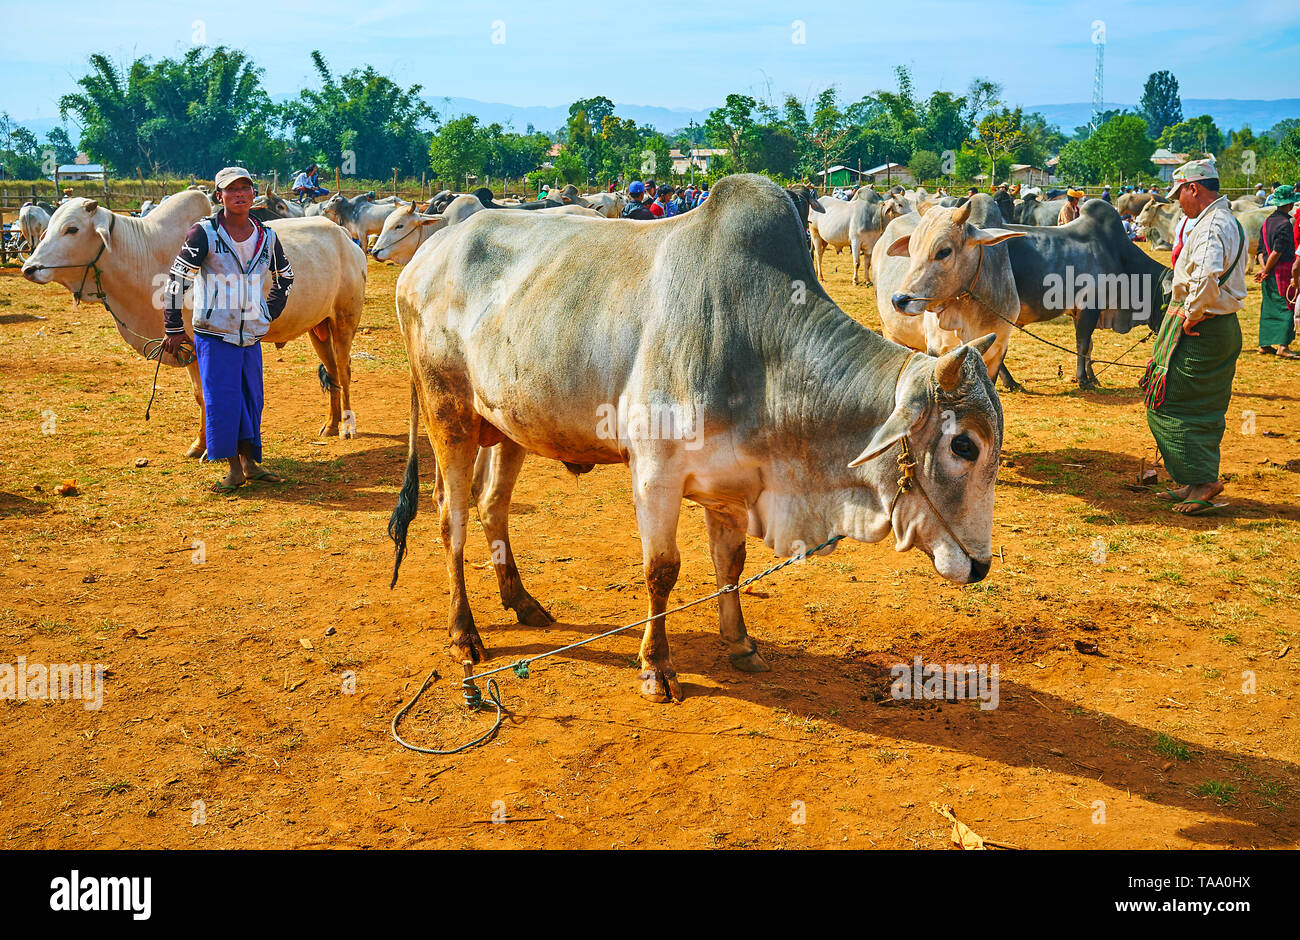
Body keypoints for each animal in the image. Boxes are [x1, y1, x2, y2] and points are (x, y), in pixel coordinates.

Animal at [21, 192, 367, 455]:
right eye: (50, 227)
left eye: (72, 229)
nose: (30, 268)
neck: (143, 255)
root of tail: (348, 240)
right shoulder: (185, 345)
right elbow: (201, 396)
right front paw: (199, 445)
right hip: (319, 327)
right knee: (332, 371)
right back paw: (331, 424)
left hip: (344, 320)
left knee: (344, 370)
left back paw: (348, 427)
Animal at [387, 174, 1002, 700]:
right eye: (963, 445)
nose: (980, 566)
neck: (761, 347)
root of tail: (424, 256)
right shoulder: (655, 474)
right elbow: (662, 570)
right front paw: (656, 666)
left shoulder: (731, 482)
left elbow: (729, 564)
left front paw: (741, 644)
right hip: (449, 417)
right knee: (450, 518)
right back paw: (465, 633)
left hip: (506, 426)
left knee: (492, 507)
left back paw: (522, 602)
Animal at [873, 196, 1022, 381]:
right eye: (911, 251)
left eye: (944, 251)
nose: (898, 300)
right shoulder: (936, 348)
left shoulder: (998, 352)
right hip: (889, 330)